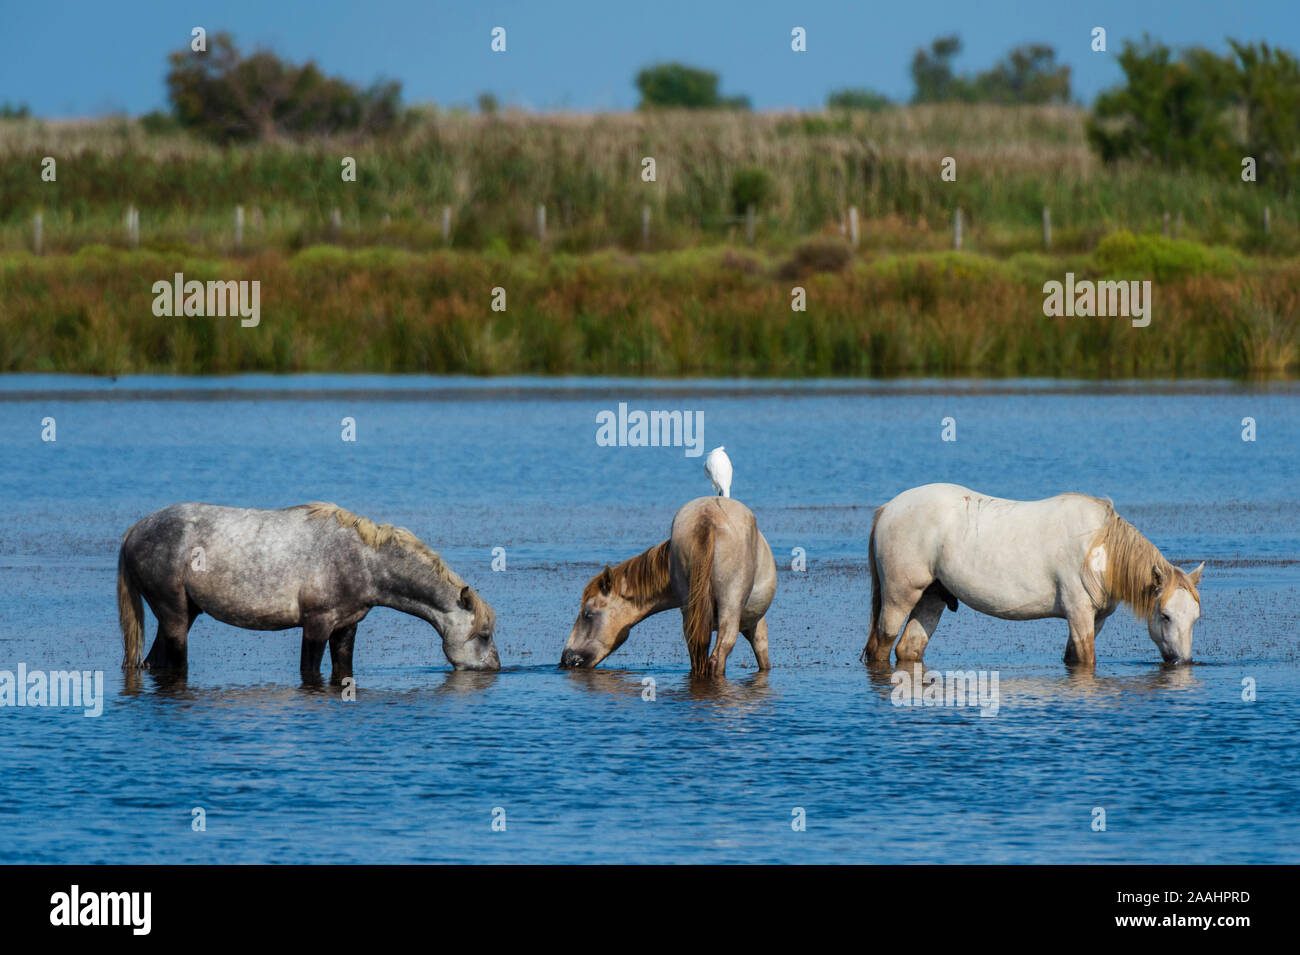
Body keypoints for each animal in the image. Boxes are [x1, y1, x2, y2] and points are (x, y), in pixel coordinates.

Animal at [117, 502, 499, 682]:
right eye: (483, 633)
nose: (495, 668)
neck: (363, 559)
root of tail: (135, 530)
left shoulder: (346, 626)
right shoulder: (317, 624)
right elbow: (310, 670)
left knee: (152, 662)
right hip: (175, 615)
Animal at [862, 483, 1204, 667]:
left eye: (1195, 618)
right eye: (1165, 616)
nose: (1183, 662)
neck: (1098, 550)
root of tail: (889, 508)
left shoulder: (1096, 619)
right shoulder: (1079, 614)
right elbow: (1087, 660)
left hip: (931, 597)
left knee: (909, 649)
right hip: (899, 597)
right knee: (881, 647)